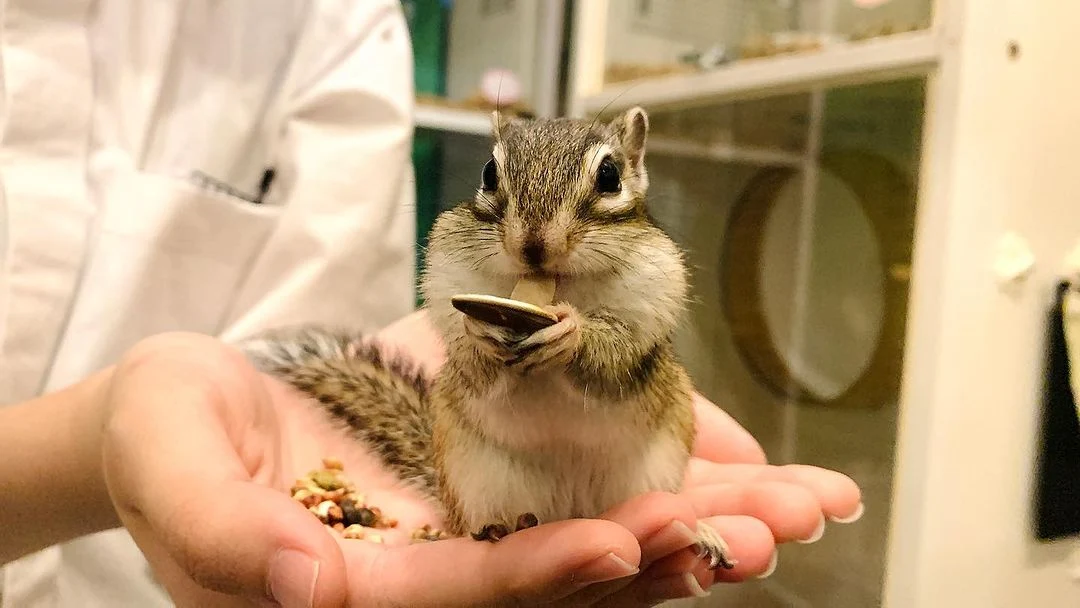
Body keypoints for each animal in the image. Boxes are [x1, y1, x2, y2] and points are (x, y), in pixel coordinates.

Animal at [240, 106, 735, 571]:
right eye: (489, 173)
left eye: (610, 176)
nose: (533, 248)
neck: (556, 285)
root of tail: (571, 512)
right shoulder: (447, 286)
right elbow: (472, 362)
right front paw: (479, 333)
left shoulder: (649, 304)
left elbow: (615, 354)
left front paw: (570, 333)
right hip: (478, 478)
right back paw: (497, 529)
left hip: (651, 475)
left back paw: (699, 531)